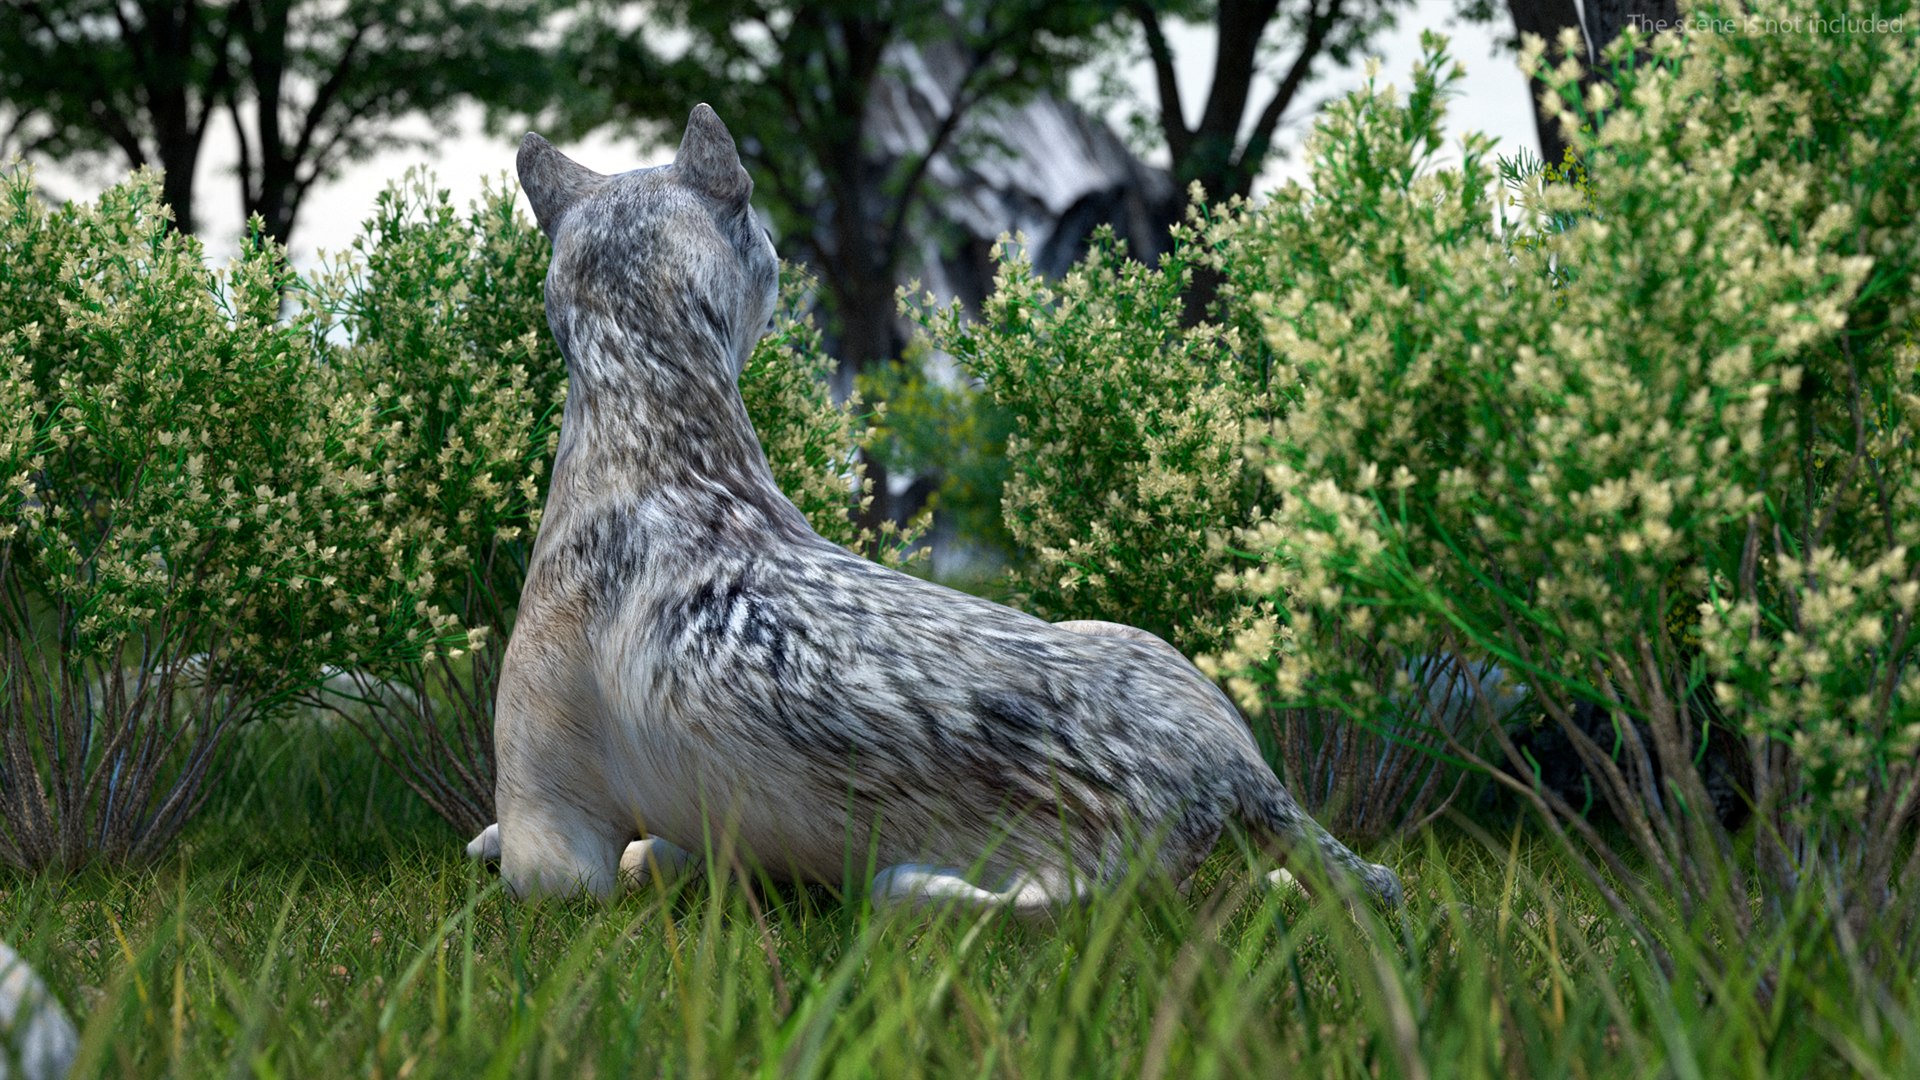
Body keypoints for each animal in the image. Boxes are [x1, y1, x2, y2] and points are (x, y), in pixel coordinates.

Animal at [479, 104, 1402, 915]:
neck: (660, 450)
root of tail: (1234, 768)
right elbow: (663, 850)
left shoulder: (551, 829)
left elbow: (566, 864)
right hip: (1140, 643)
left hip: (1056, 881)